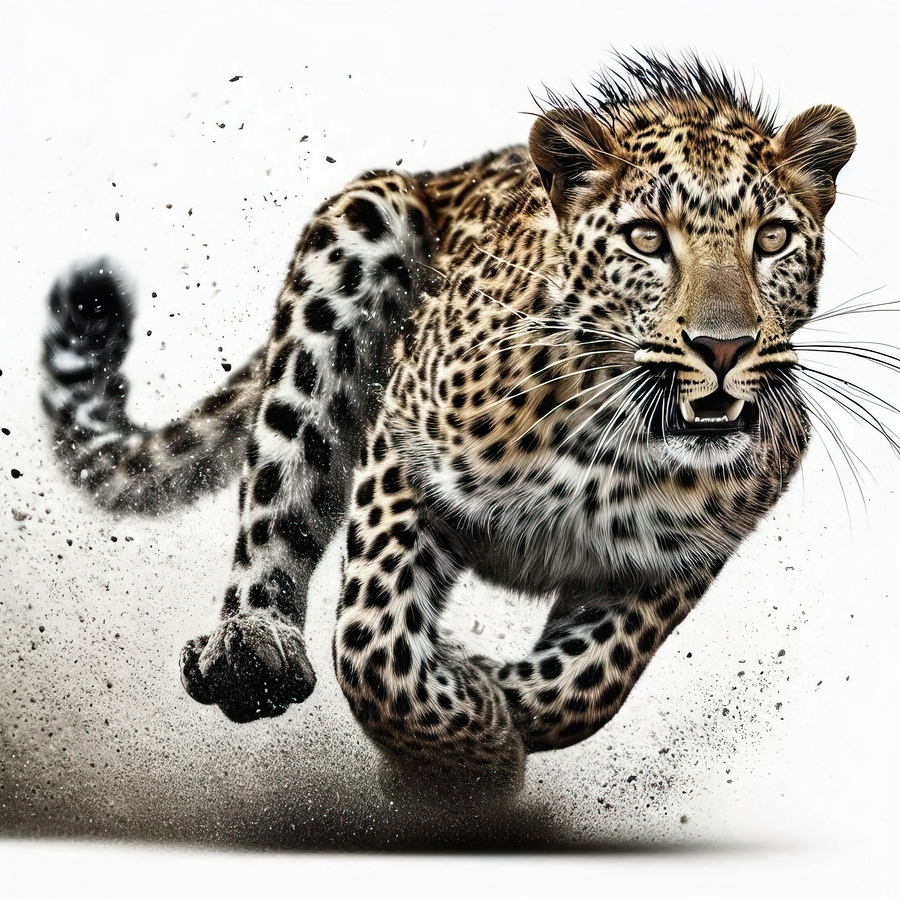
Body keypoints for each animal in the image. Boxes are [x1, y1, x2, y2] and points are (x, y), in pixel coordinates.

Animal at [42, 53, 857, 798]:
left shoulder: (675, 563)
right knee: (279, 492)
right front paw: (477, 744)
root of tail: (451, 171)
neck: (620, 441)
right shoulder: (404, 452)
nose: (723, 347)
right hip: (358, 230)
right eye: (648, 239)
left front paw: (483, 688)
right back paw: (252, 647)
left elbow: (590, 681)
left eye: (773, 238)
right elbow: (373, 644)